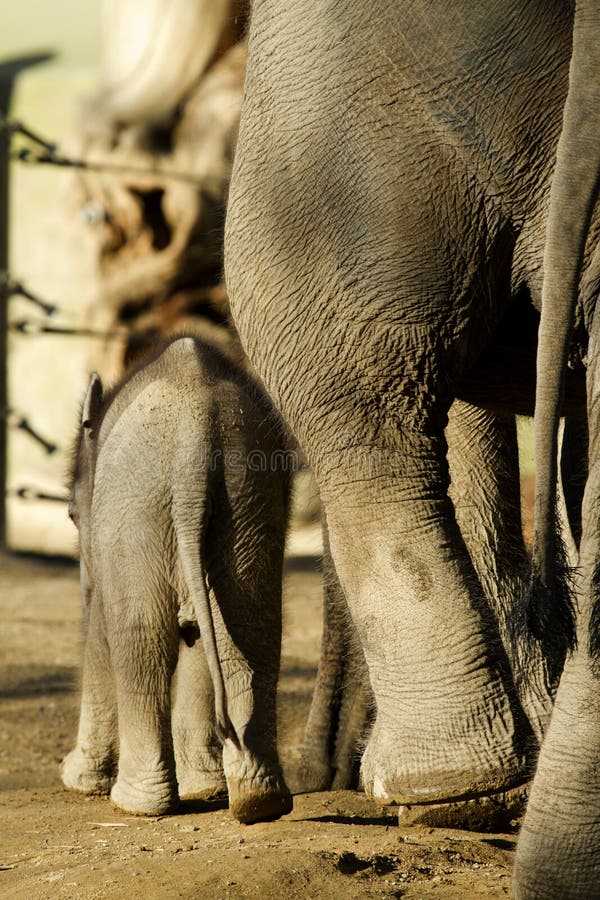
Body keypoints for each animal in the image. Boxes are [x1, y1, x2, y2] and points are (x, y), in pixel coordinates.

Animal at [61, 336, 293, 824]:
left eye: (72, 514)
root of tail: (195, 442)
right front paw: (206, 789)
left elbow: (103, 636)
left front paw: (77, 780)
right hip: (248, 498)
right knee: (249, 629)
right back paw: (257, 800)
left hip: (137, 510)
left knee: (139, 637)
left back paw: (136, 804)